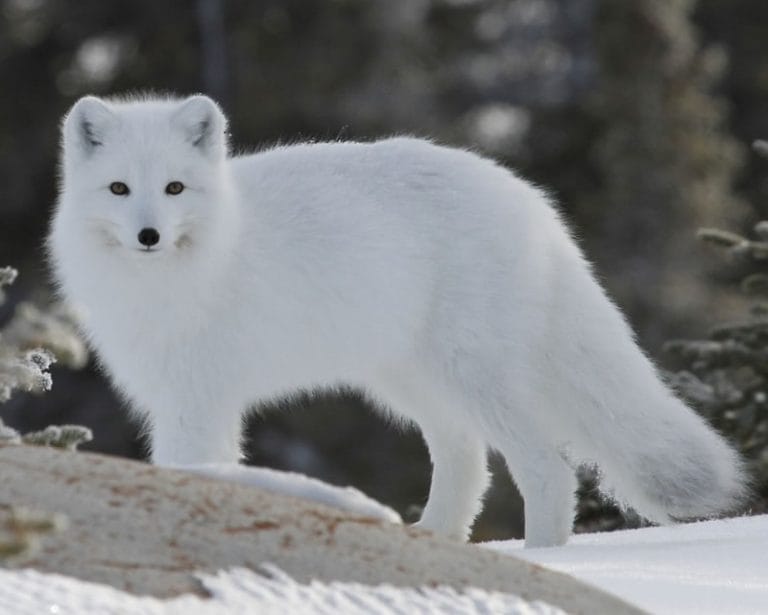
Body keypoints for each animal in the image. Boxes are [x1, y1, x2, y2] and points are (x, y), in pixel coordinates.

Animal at [48, 93, 746, 547]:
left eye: (174, 189)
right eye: (118, 189)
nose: (148, 235)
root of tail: (531, 201)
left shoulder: (199, 400)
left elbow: (192, 470)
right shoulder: (178, 398)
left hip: (472, 376)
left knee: (547, 467)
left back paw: (543, 559)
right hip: (411, 383)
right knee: (468, 461)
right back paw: (435, 540)